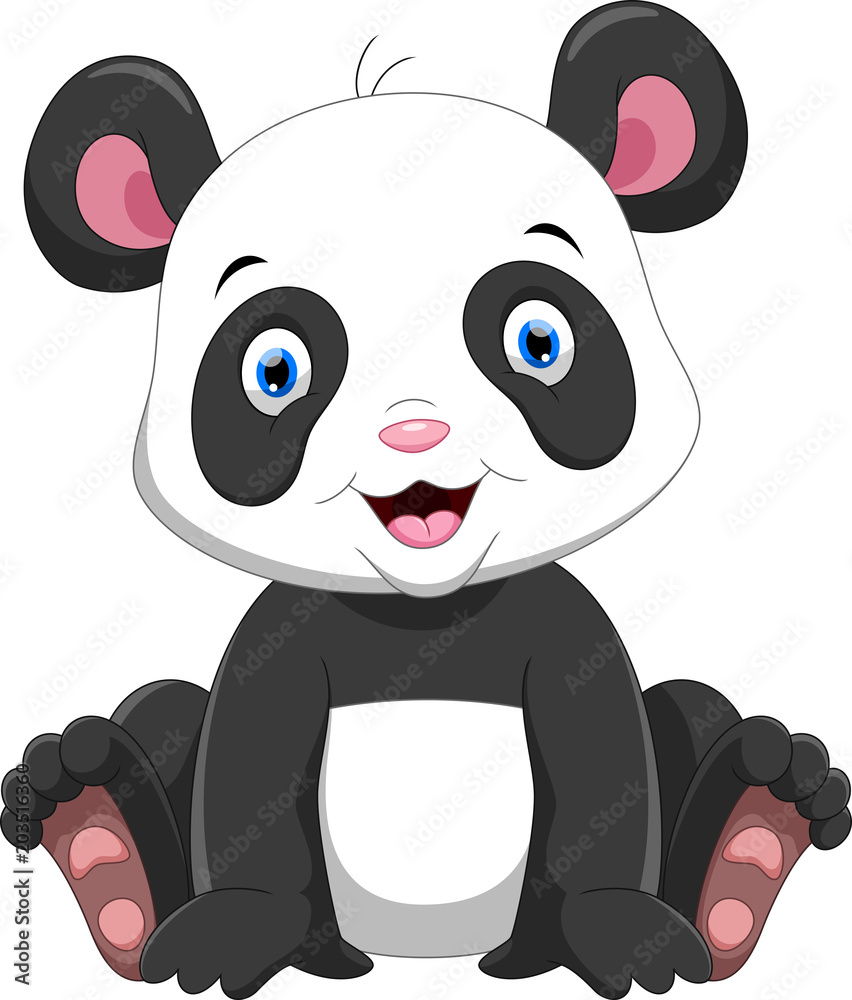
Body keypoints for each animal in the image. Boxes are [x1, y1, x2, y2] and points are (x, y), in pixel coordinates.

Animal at [3, 3, 849, 998]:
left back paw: (755, 835)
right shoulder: (281, 635)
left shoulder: (566, 627)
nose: (414, 433)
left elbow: (604, 771)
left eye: (538, 338)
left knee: (688, 708)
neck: (424, 611)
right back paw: (97, 837)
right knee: (169, 712)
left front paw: (619, 930)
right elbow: (249, 774)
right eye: (274, 369)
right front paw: (235, 930)